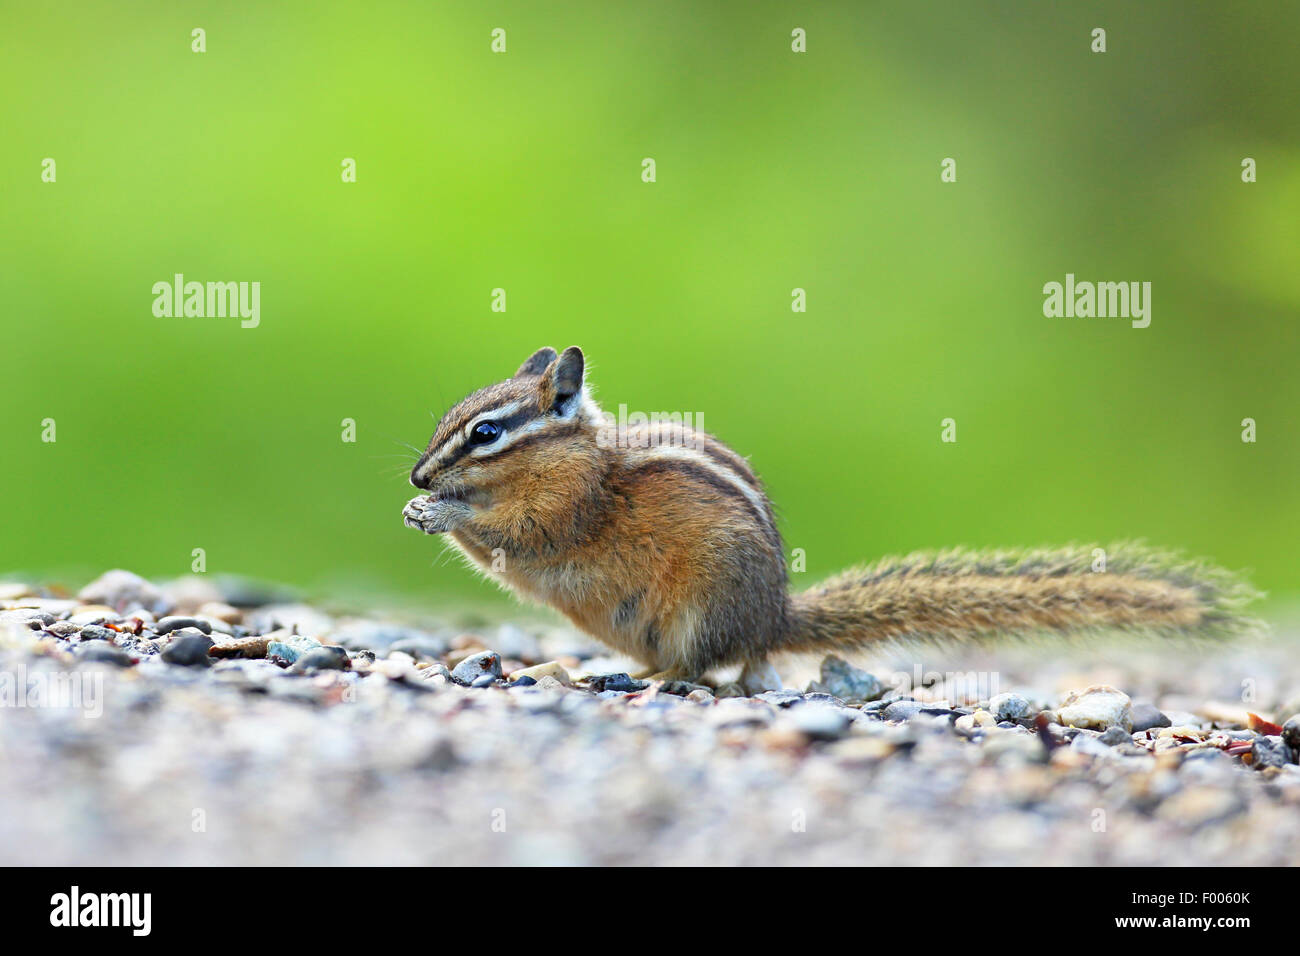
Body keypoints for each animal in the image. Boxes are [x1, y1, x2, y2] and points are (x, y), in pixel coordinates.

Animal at [403, 346, 1257, 691]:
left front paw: (439, 509)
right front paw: (420, 502)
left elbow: (518, 537)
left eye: (486, 434)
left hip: (700, 605)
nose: (416, 474)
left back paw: (645, 675)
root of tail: (774, 619)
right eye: (451, 419)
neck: (573, 454)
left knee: (705, 668)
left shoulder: (566, 510)